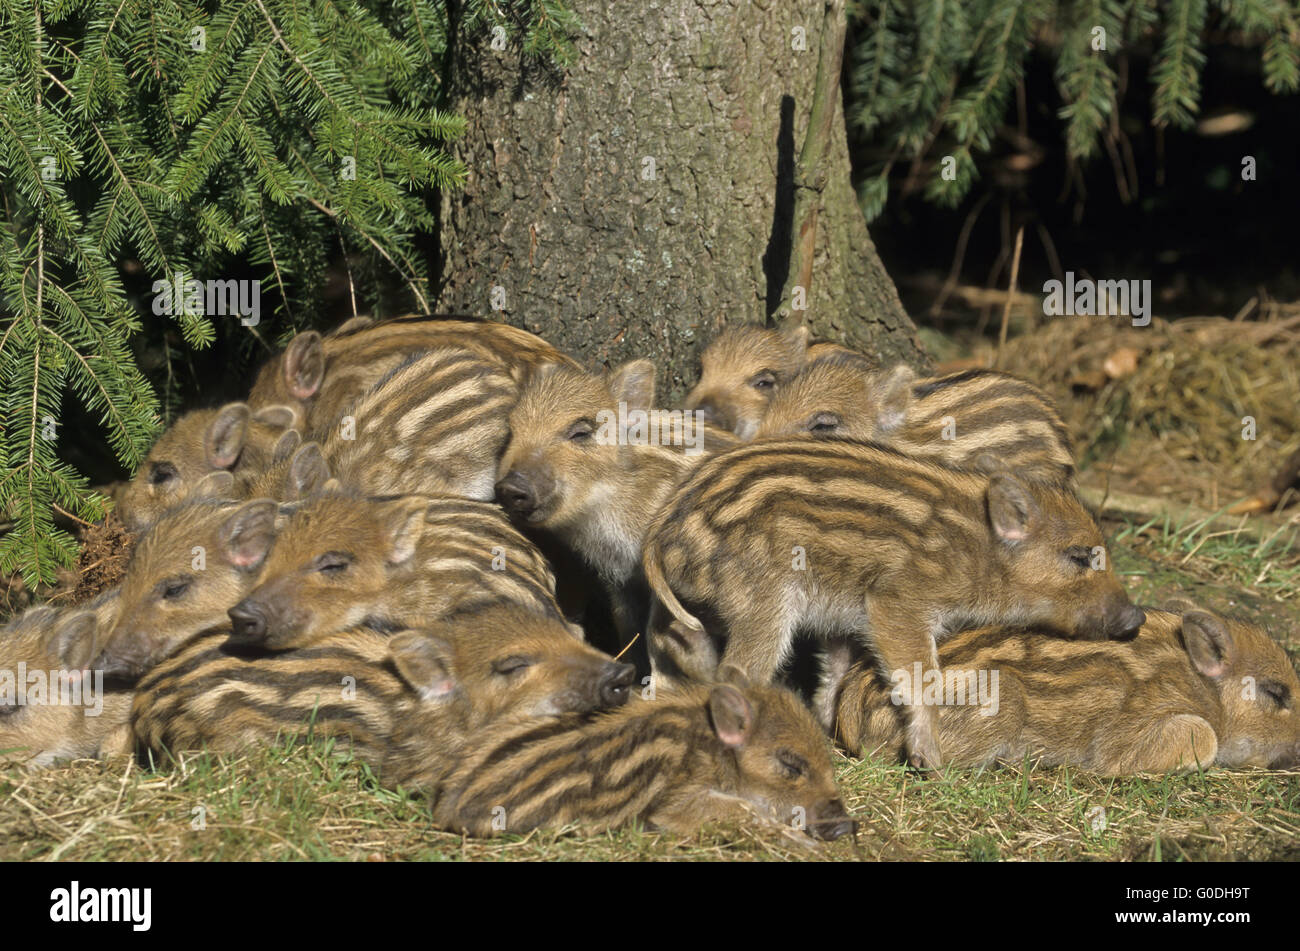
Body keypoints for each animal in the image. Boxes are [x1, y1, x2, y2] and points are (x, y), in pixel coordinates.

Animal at [432, 666, 855, 840]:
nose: (847, 826)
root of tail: (446, 805)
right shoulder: (676, 803)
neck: (715, 750)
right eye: (791, 764)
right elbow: (744, 809)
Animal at [642, 438, 1144, 769]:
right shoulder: (897, 601)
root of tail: (666, 530)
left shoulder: (846, 617)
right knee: (736, 673)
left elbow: (836, 678)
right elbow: (921, 679)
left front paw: (835, 732)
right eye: (1079, 556)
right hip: (763, 599)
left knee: (676, 645)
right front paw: (930, 762)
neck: (980, 551)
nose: (1136, 617)